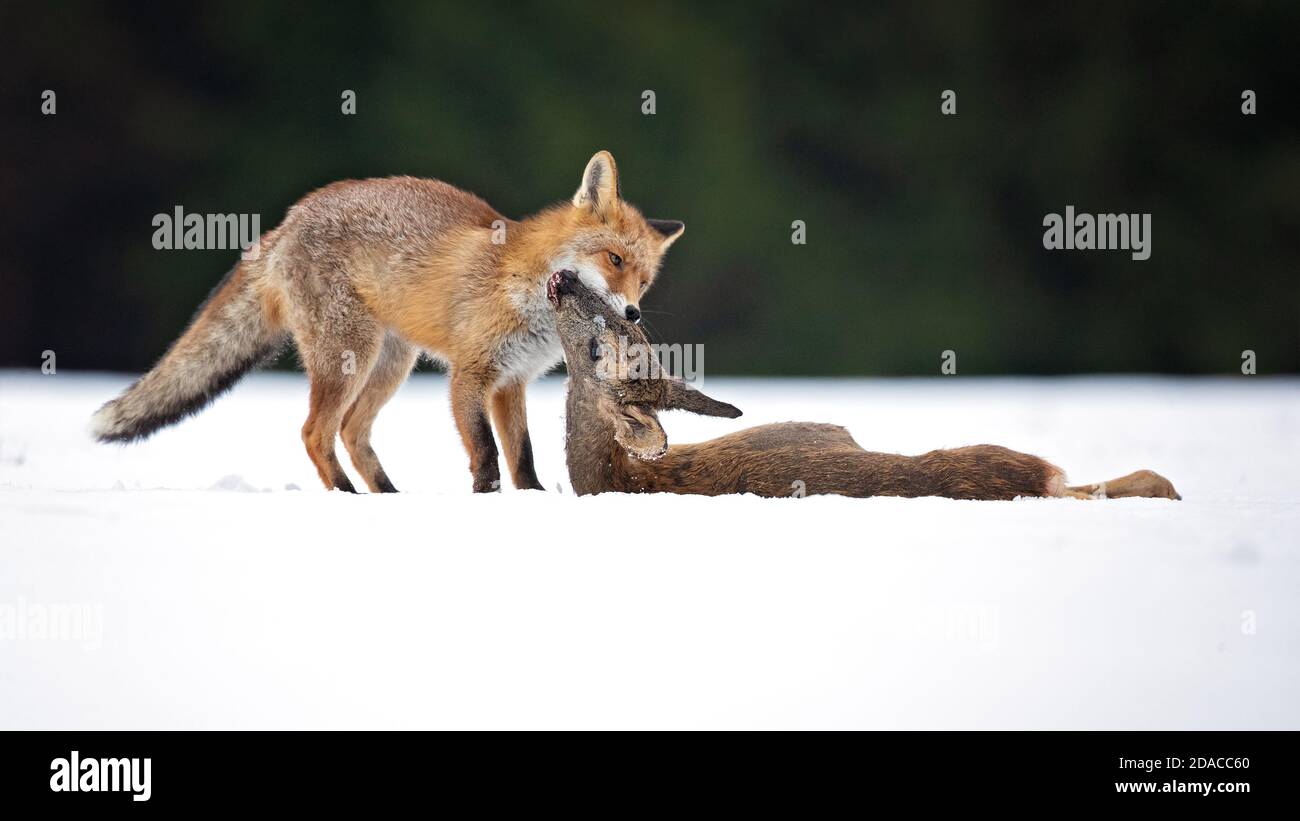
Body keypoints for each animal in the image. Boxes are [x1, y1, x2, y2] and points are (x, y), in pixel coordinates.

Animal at [91, 151, 686, 493]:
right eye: (614, 260)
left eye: (645, 280)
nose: (631, 312)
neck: (521, 285)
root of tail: (288, 219)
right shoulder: (469, 375)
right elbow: (487, 455)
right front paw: (487, 501)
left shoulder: (511, 382)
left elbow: (523, 459)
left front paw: (533, 502)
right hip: (351, 354)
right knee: (315, 432)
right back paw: (347, 499)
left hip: (391, 362)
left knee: (352, 433)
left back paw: (389, 498)